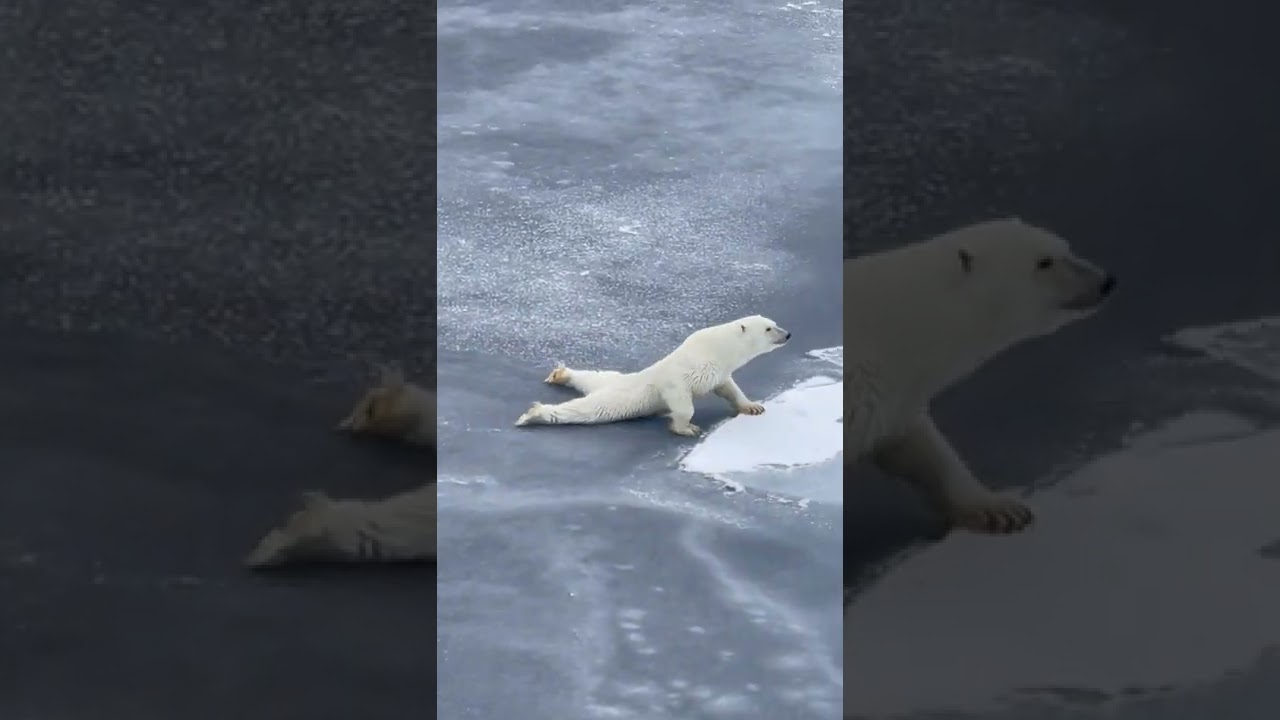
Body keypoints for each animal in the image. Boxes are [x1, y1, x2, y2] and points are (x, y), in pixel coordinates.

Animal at [515, 314, 791, 437]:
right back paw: (534, 414)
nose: (788, 334)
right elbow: (680, 400)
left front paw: (753, 407)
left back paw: (561, 374)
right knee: (589, 410)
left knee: (595, 377)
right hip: (621, 397)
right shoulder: (680, 375)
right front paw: (687, 428)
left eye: (774, 323)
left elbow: (729, 388)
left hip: (612, 380)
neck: (715, 349)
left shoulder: (718, 372)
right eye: (769, 328)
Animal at [847, 218, 1115, 534]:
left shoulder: (891, 397)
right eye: (1044, 262)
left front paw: (1002, 510)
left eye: (1066, 246)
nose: (1106, 281)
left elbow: (917, 446)